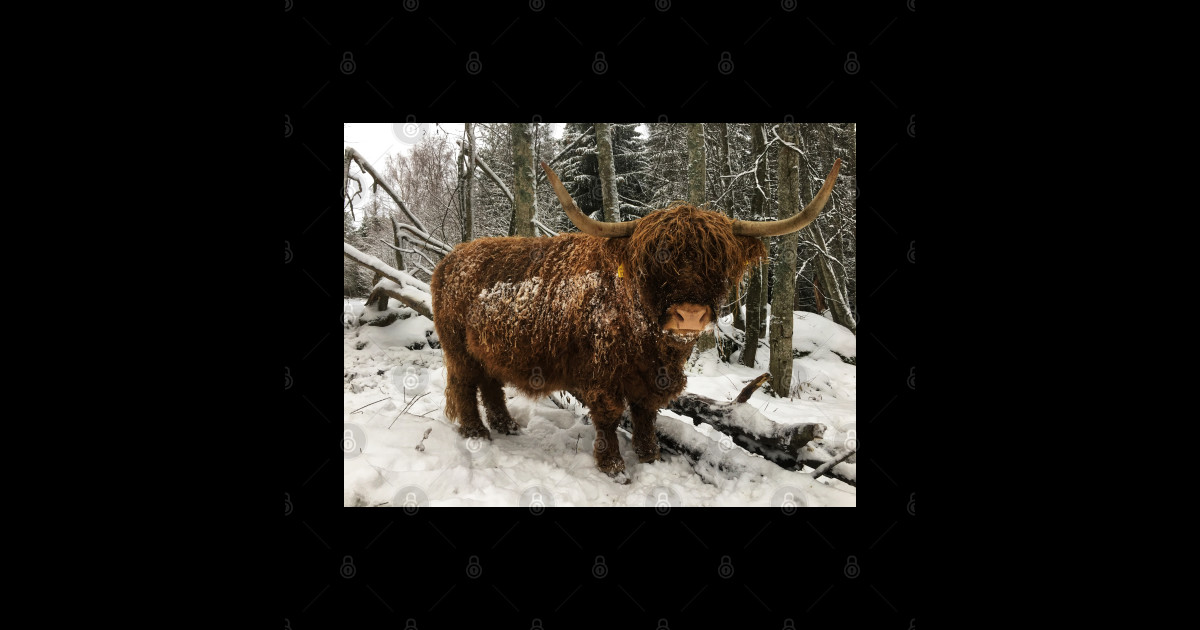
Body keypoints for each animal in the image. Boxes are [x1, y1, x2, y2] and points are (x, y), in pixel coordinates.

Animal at [430, 158, 842, 478]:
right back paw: (478, 433)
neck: (650, 342)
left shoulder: (652, 379)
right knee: (465, 386)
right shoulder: (602, 376)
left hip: (487, 350)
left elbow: (645, 414)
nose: (690, 314)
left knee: (490, 386)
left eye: (719, 262)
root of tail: (450, 259)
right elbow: (610, 416)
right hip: (458, 349)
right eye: (656, 262)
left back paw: (507, 426)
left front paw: (650, 457)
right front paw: (612, 465)